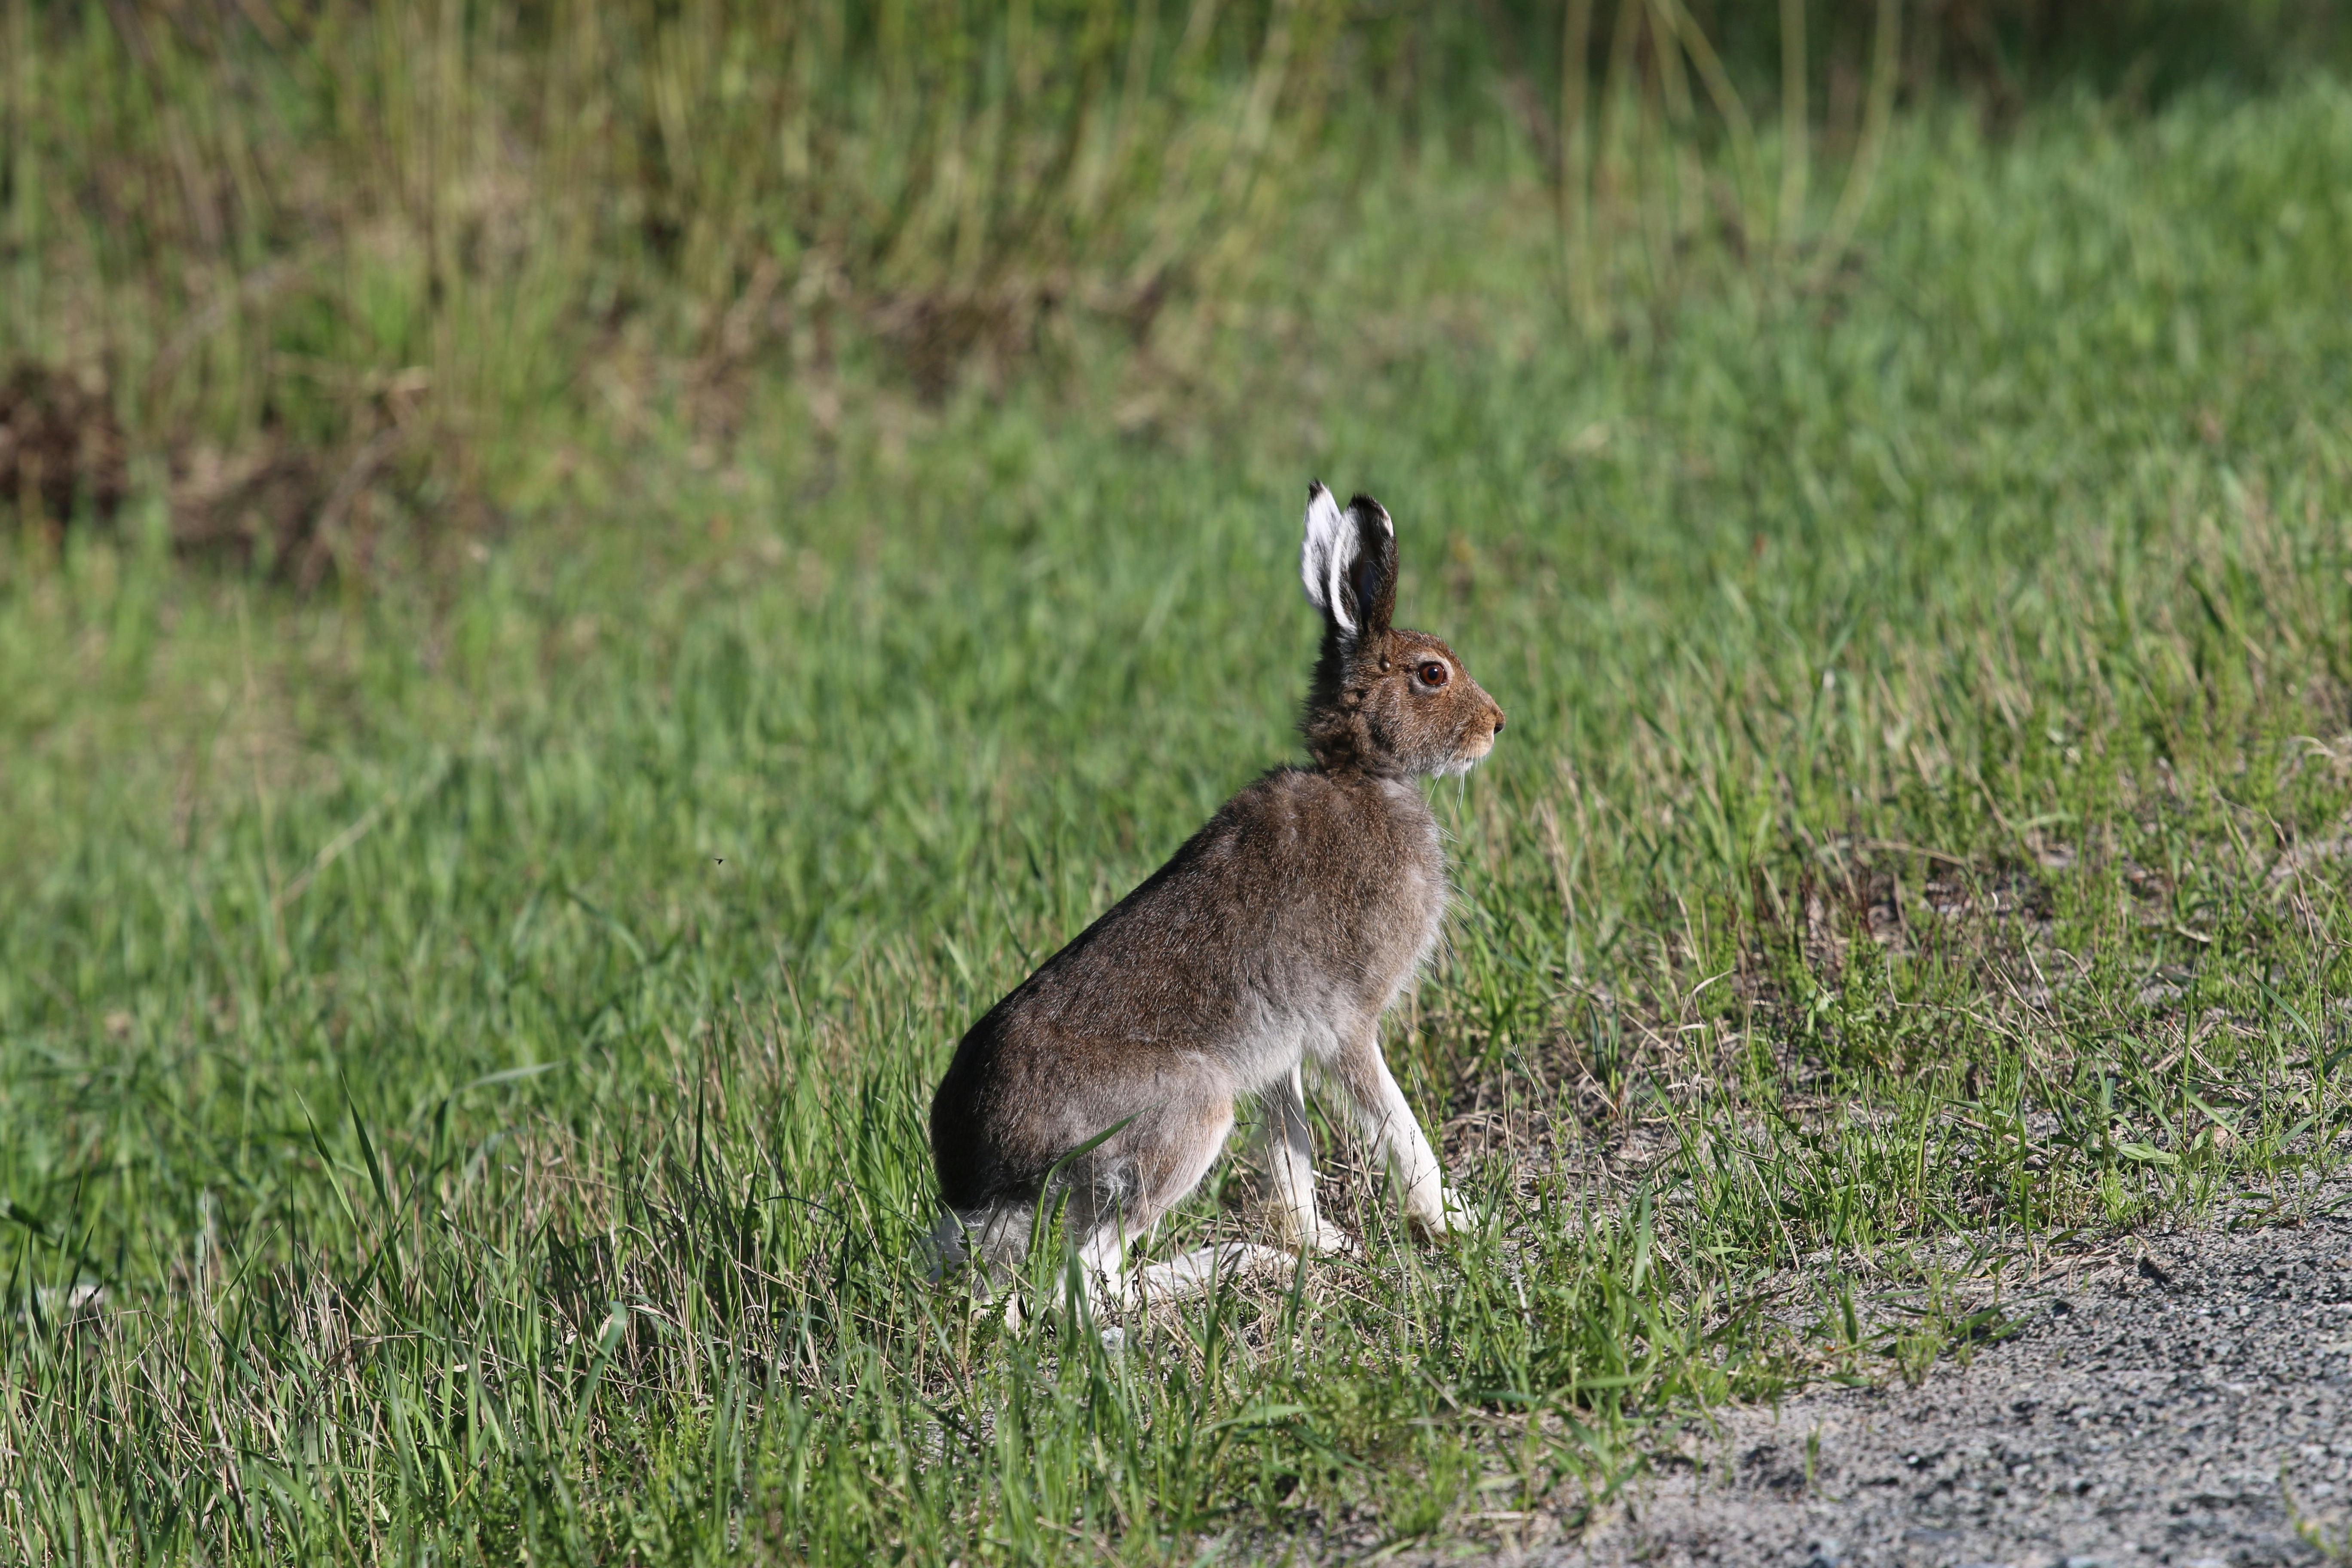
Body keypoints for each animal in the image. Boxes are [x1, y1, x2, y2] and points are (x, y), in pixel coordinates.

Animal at [926, 482, 1506, 1309]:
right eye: (1432, 674)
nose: (1496, 725)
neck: (1362, 776)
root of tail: (982, 1181)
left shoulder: (1281, 1051)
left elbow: (1293, 1151)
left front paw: (1320, 1242)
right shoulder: (1346, 1025)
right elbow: (1397, 1129)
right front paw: (1458, 1222)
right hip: (1186, 1117)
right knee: (1089, 1282)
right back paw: (1239, 1264)